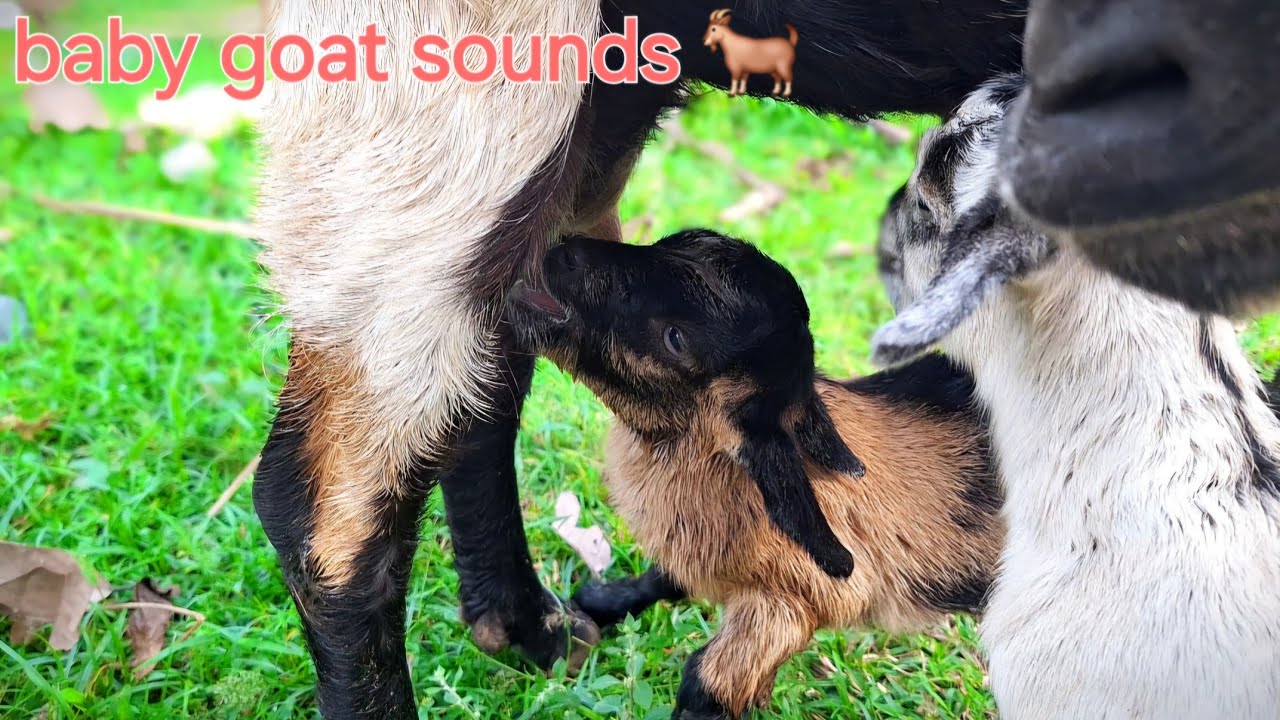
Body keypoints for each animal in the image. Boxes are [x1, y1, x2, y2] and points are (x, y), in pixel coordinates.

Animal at [506, 230, 1002, 720]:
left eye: (675, 337)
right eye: (669, 241)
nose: (562, 251)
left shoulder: (792, 602)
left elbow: (706, 680)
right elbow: (664, 578)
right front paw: (599, 601)